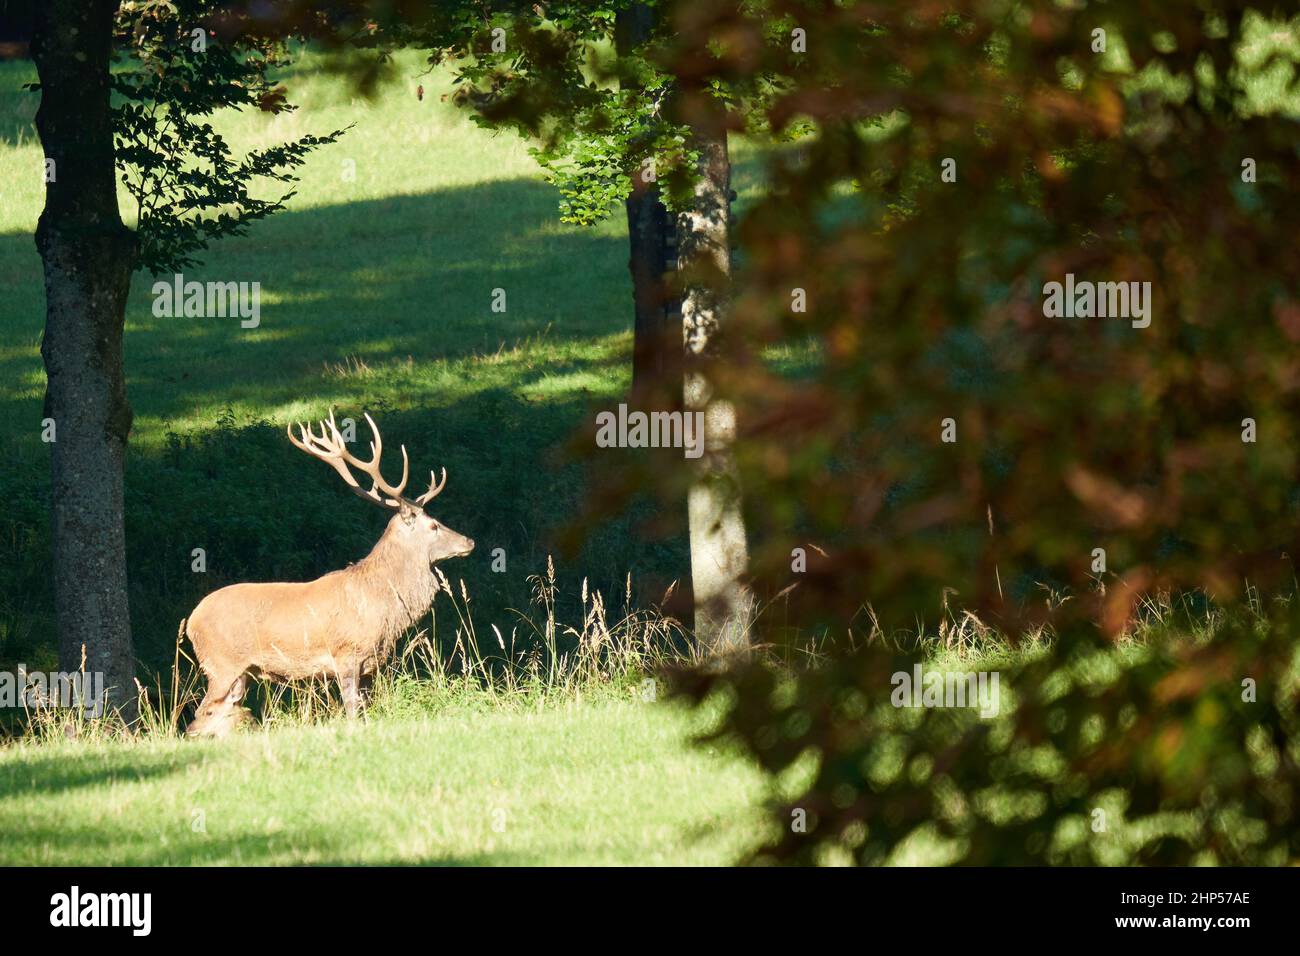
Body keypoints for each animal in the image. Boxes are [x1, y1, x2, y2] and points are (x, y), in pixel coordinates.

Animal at [182, 412, 474, 737]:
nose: (469, 541)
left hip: (240, 672)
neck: (383, 607)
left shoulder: (370, 664)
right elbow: (351, 710)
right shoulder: (346, 654)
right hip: (220, 663)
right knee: (205, 709)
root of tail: (191, 621)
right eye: (434, 525)